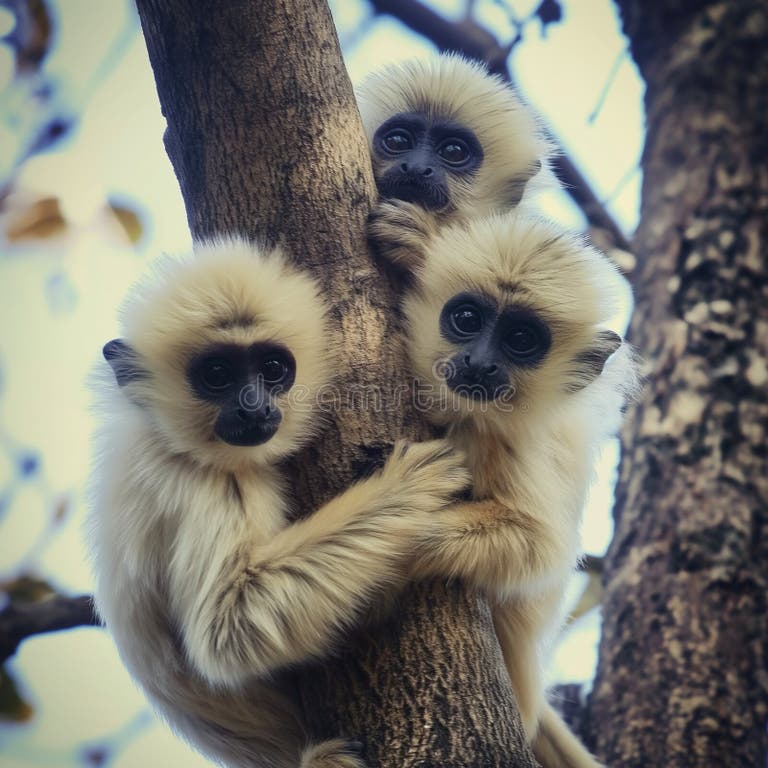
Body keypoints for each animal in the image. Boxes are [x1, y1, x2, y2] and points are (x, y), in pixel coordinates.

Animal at [86, 237, 470, 768]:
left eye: (272, 369)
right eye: (217, 374)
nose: (253, 405)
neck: (163, 436)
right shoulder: (210, 483)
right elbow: (228, 629)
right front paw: (409, 484)